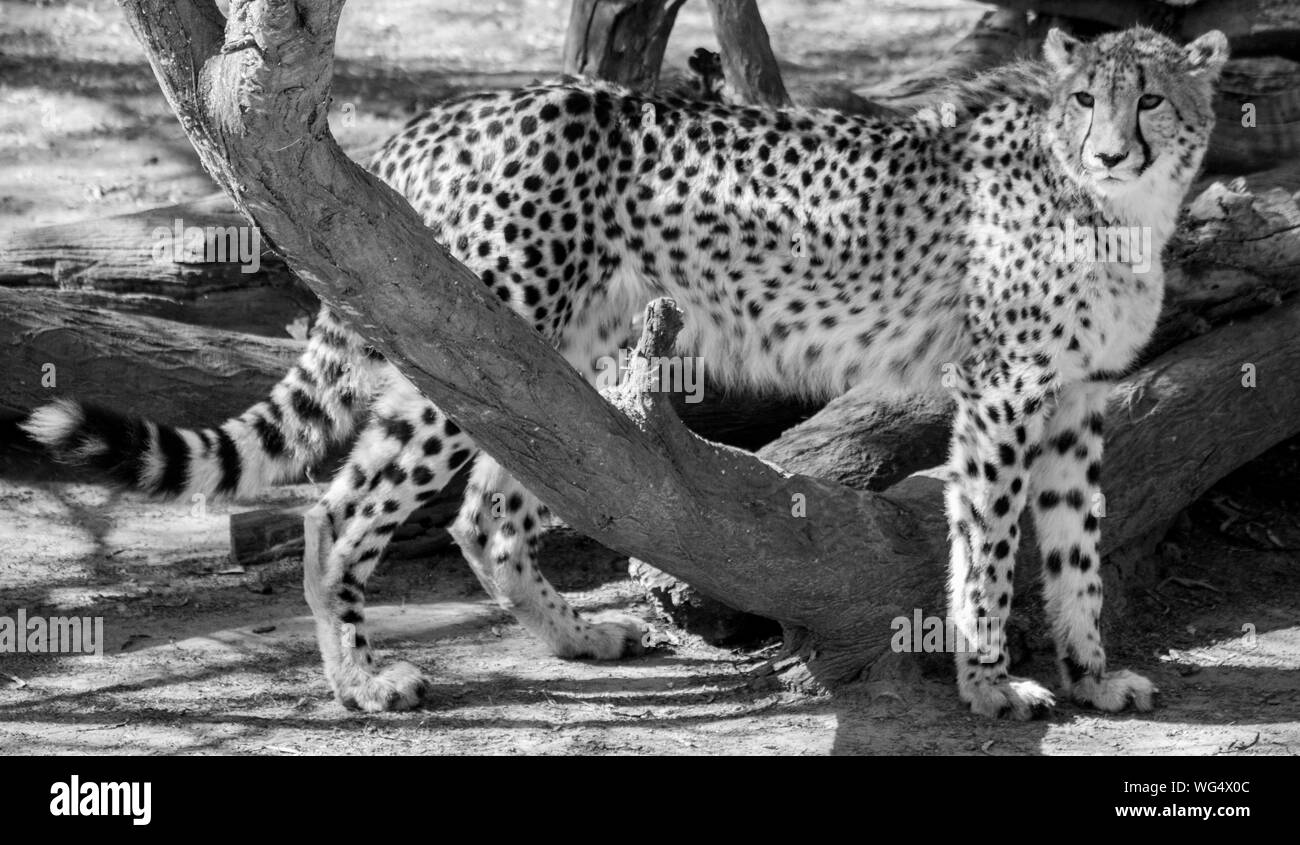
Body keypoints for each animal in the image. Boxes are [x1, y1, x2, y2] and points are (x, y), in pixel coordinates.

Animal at [22, 26, 1228, 718]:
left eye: (1150, 99)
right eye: (1087, 100)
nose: (1113, 147)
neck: (1115, 204)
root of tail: (457, 109)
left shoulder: (1074, 400)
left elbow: (1072, 547)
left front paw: (1092, 672)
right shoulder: (1003, 392)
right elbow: (987, 548)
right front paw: (988, 685)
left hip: (548, 357)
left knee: (488, 509)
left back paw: (578, 633)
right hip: (476, 336)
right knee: (338, 509)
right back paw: (363, 679)